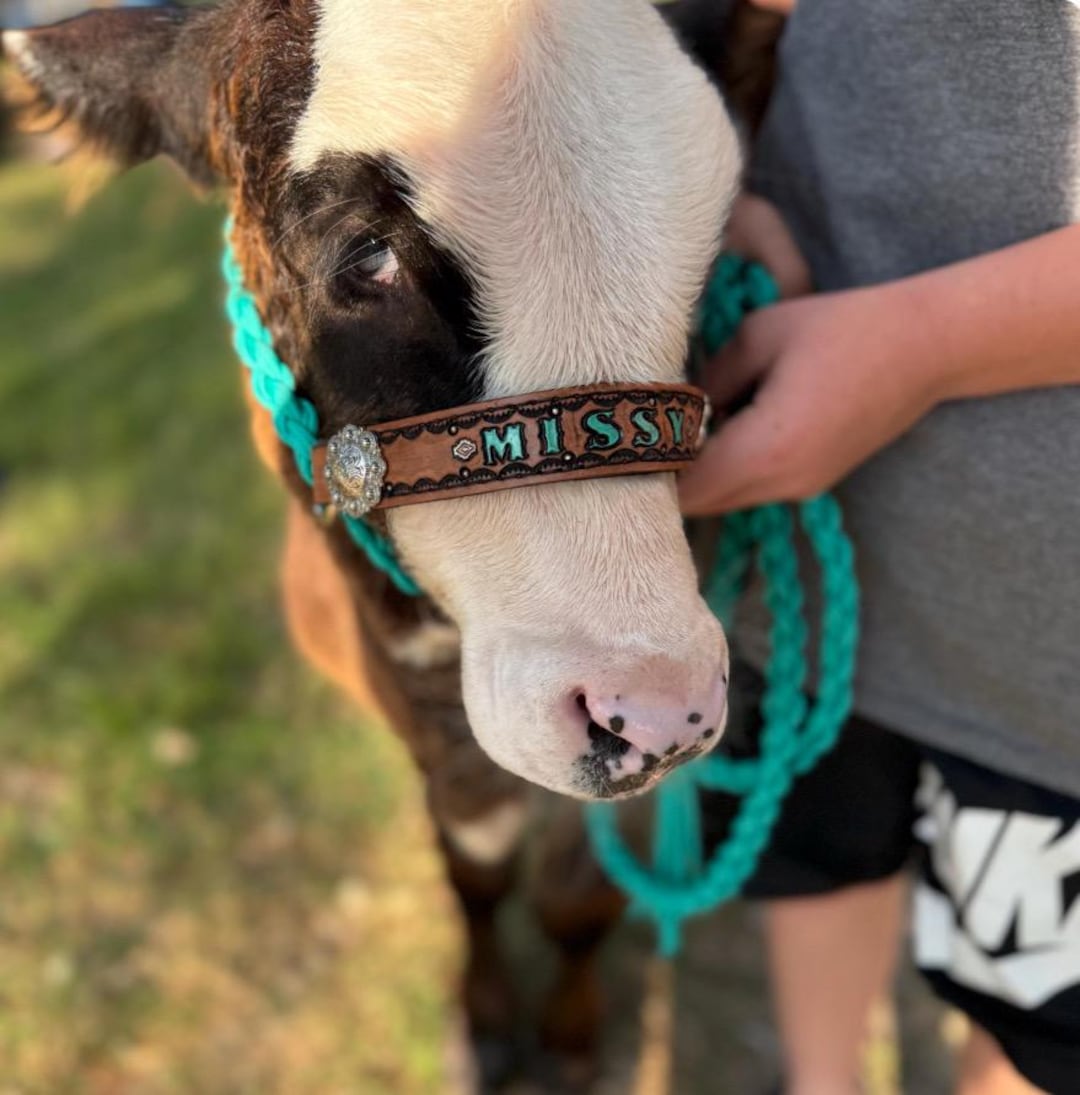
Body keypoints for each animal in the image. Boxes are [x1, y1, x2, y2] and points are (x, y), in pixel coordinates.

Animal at [3, 0, 744, 1086]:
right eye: (365, 258)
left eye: (715, 250)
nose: (657, 711)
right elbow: (476, 871)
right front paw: (484, 1024)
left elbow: (578, 894)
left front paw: (570, 1039)